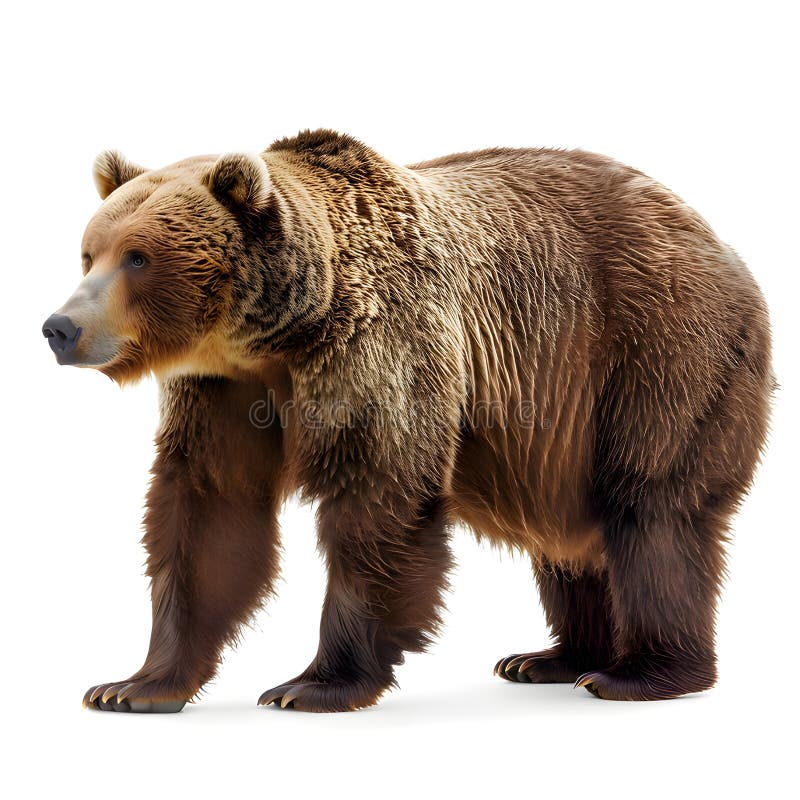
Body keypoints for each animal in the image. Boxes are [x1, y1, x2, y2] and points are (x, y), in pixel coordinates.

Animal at [42, 129, 773, 712]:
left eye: (138, 257)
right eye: (89, 252)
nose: (60, 327)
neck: (280, 334)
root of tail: (715, 236)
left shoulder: (380, 342)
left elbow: (378, 495)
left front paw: (314, 684)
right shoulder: (223, 386)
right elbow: (209, 510)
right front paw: (132, 685)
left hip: (657, 352)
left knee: (652, 509)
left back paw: (639, 674)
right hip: (564, 427)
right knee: (567, 536)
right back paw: (549, 658)